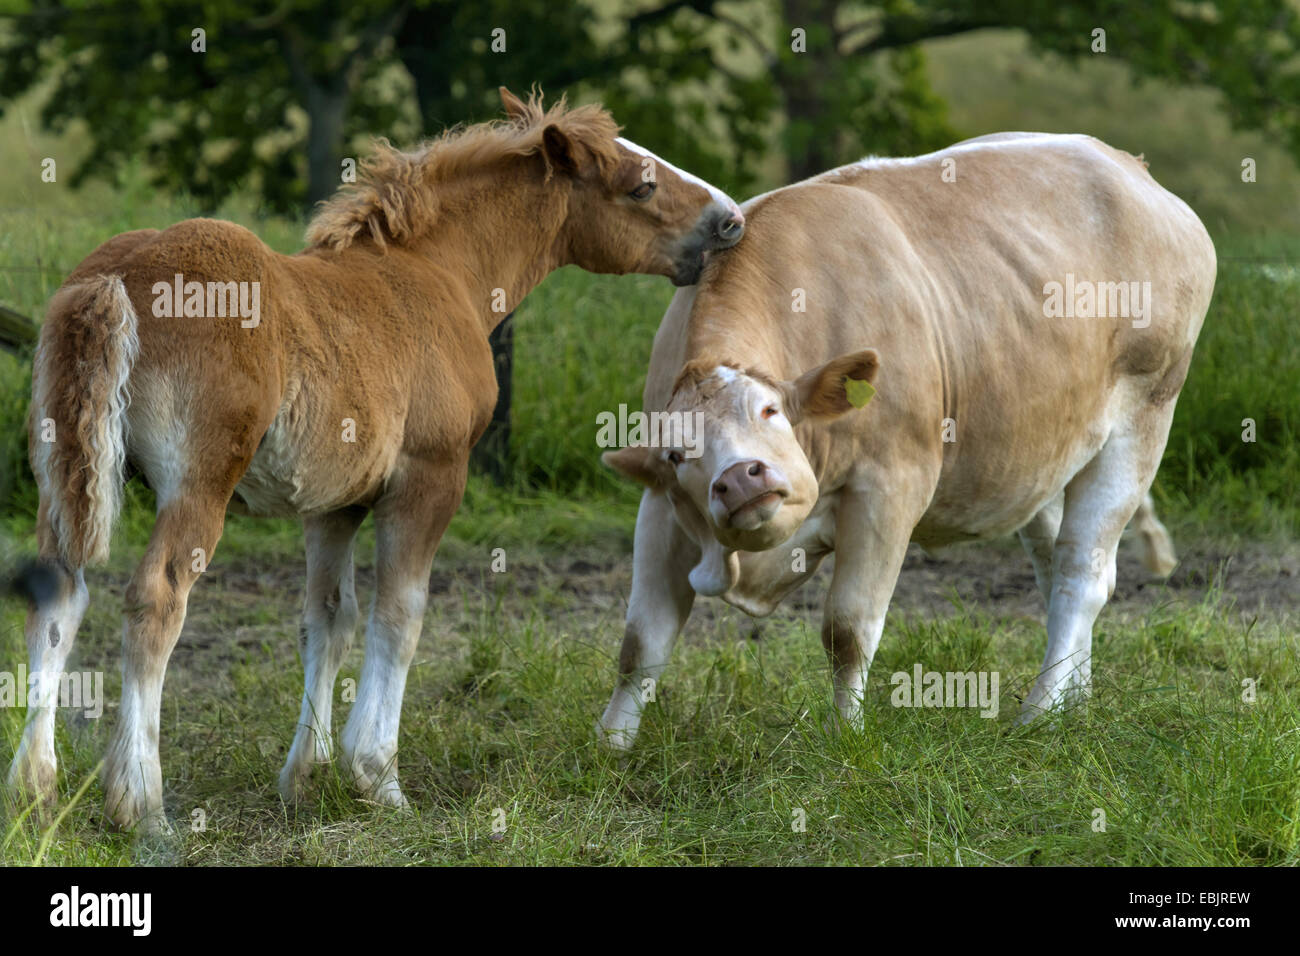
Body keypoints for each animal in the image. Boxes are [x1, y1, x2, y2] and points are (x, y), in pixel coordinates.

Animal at [7, 87, 746, 832]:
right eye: (640, 185)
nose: (731, 220)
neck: (441, 272)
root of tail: (114, 278)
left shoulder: (332, 504)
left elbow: (329, 619)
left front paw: (305, 778)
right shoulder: (430, 477)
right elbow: (401, 615)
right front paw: (377, 777)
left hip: (63, 475)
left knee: (59, 594)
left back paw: (34, 792)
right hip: (199, 483)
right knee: (157, 599)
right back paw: (140, 802)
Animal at [598, 132, 1214, 747]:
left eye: (770, 410)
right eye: (678, 453)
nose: (740, 479)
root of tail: (1126, 165)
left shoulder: (890, 486)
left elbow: (847, 631)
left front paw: (846, 739)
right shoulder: (661, 504)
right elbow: (640, 642)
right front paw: (611, 747)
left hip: (1143, 418)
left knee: (1081, 573)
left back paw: (1039, 713)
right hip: (1042, 457)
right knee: (1056, 566)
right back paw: (1072, 703)